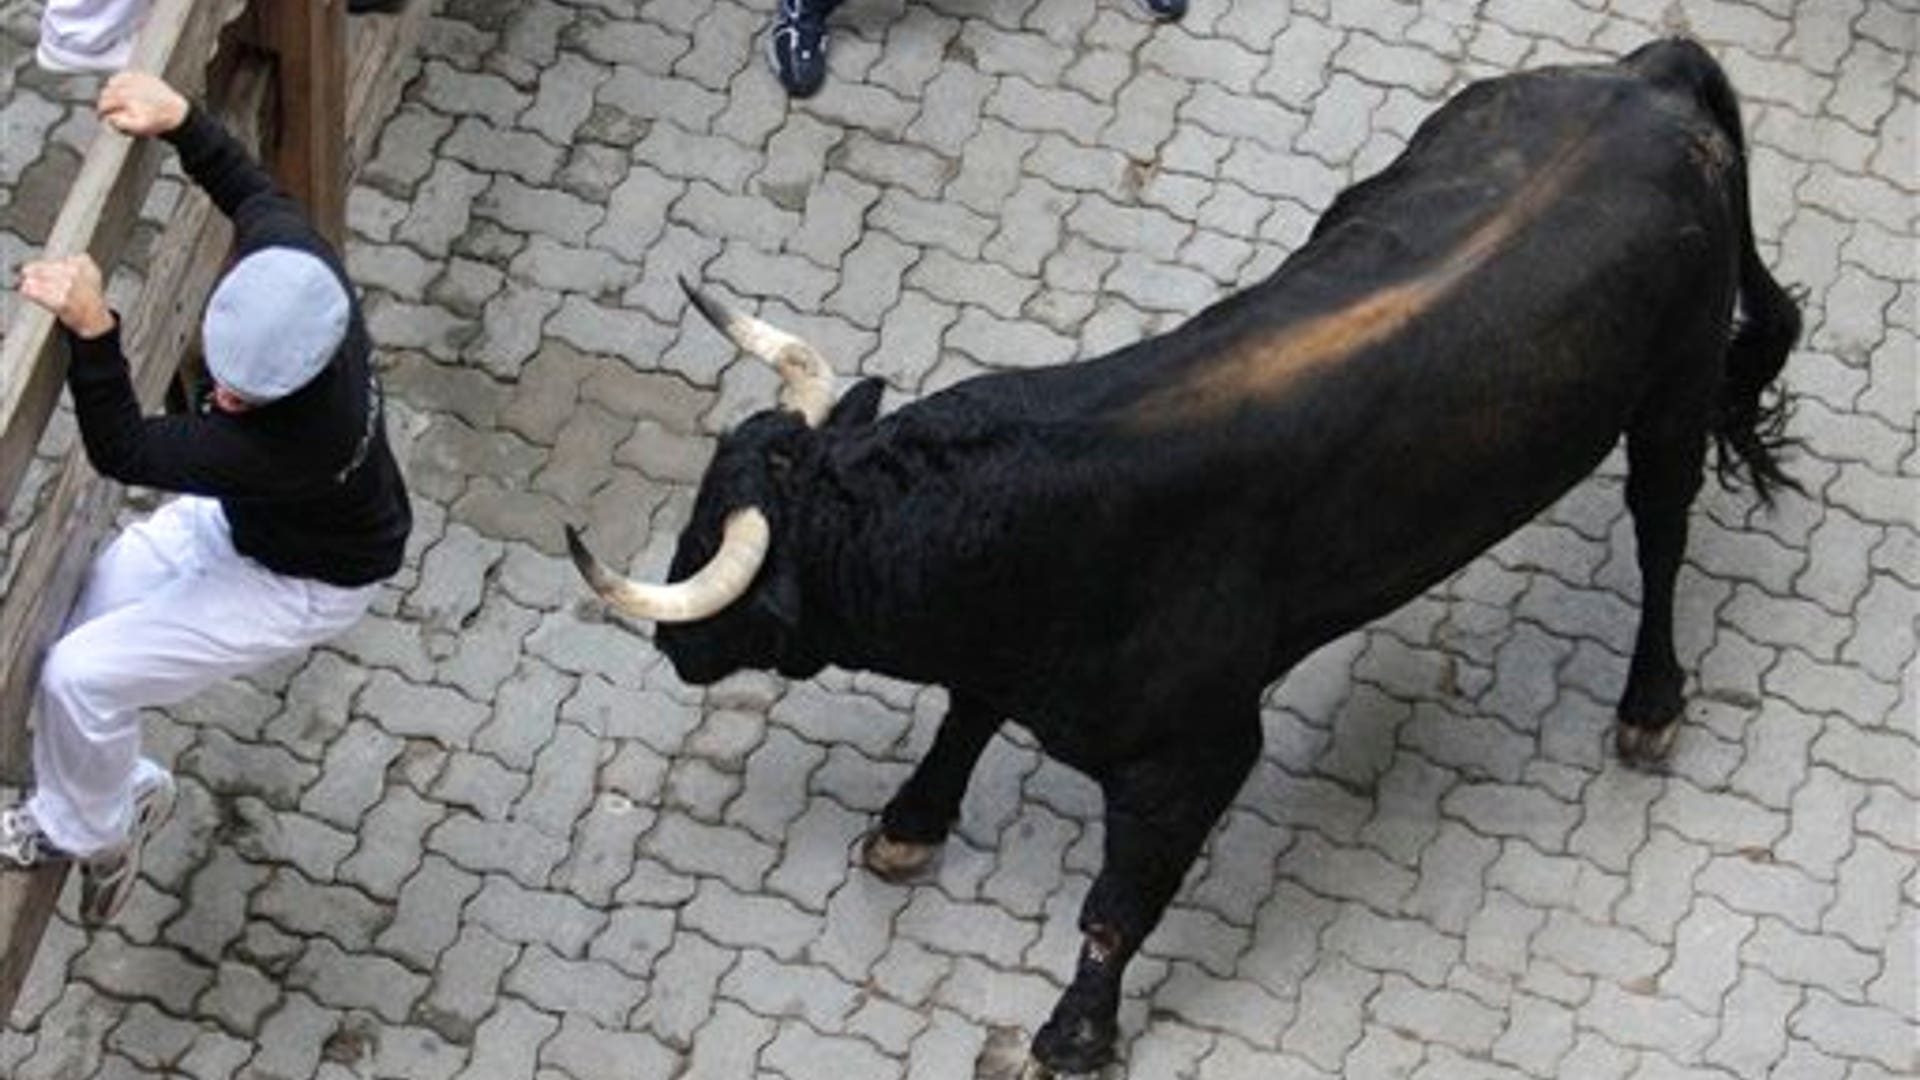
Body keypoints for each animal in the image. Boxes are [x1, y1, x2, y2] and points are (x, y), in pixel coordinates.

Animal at [568, 38, 1799, 1076]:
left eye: (715, 548)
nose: (674, 647)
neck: (1003, 514)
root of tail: (1650, 76)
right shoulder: (1005, 655)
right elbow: (965, 712)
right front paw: (910, 825)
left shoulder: (1196, 754)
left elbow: (1115, 907)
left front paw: (1072, 1036)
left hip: (1676, 384)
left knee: (1662, 526)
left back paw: (1649, 704)